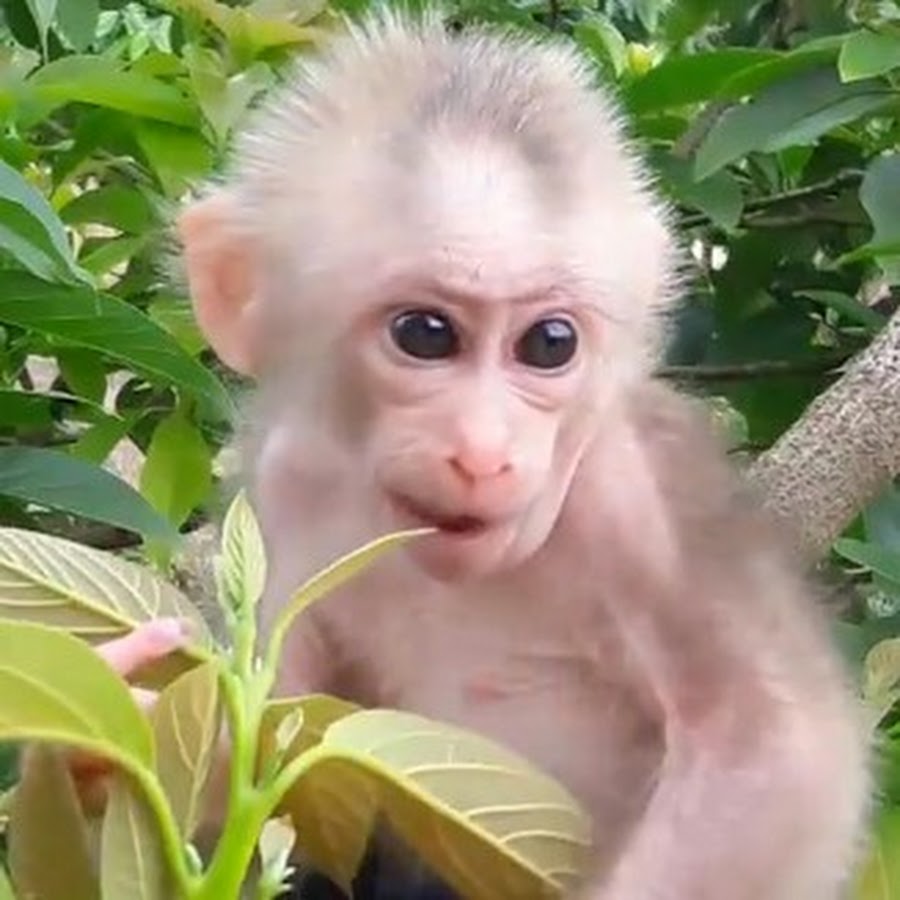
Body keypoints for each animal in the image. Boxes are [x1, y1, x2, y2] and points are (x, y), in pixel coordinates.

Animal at [77, 8, 871, 900]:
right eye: (427, 334)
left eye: (550, 343)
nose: (484, 455)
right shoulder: (287, 481)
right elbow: (278, 730)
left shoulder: (624, 499)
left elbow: (770, 748)